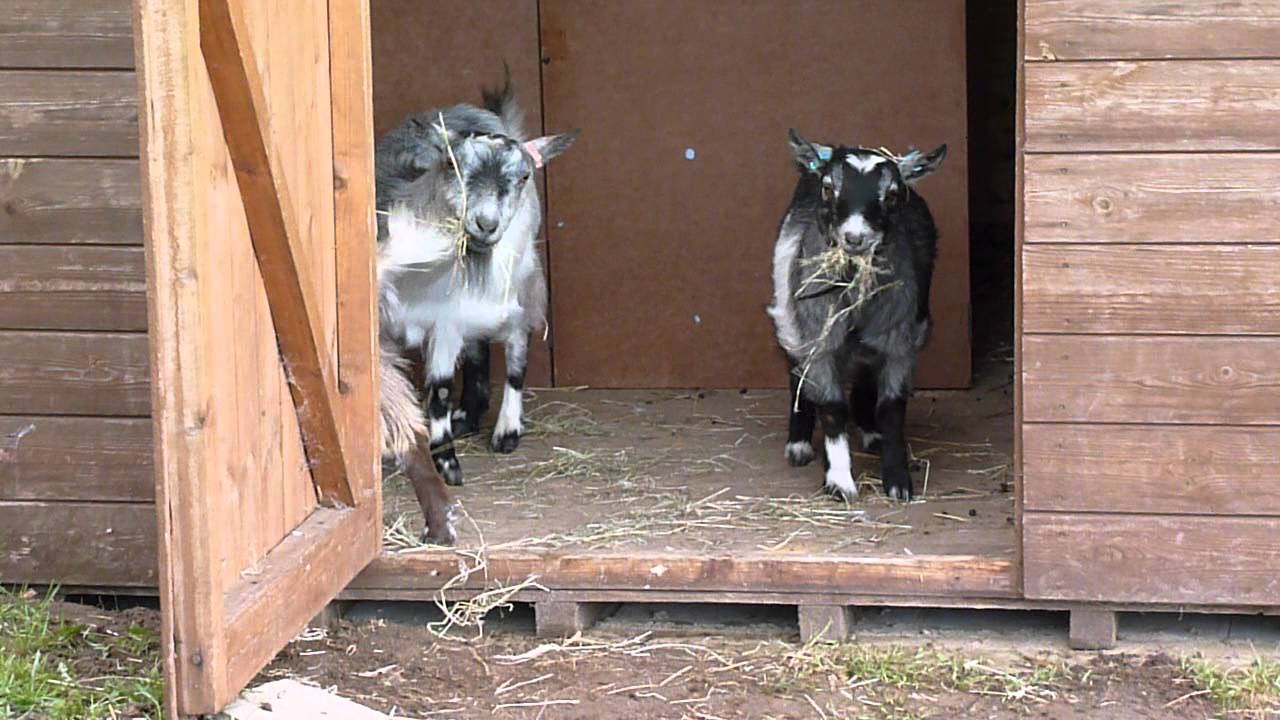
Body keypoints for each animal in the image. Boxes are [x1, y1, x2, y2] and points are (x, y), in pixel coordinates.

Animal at [375, 75, 578, 486]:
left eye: (523, 176)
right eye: (454, 168)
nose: (486, 223)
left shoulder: (451, 320)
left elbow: (442, 388)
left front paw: (450, 462)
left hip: (522, 289)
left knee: (508, 355)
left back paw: (497, 426)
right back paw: (469, 414)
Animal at [768, 129, 947, 501]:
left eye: (892, 195)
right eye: (828, 188)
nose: (855, 237)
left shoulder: (899, 342)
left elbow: (891, 409)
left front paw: (898, 481)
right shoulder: (818, 340)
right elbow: (833, 409)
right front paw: (840, 482)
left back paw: (871, 433)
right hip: (792, 321)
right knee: (797, 372)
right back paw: (799, 444)